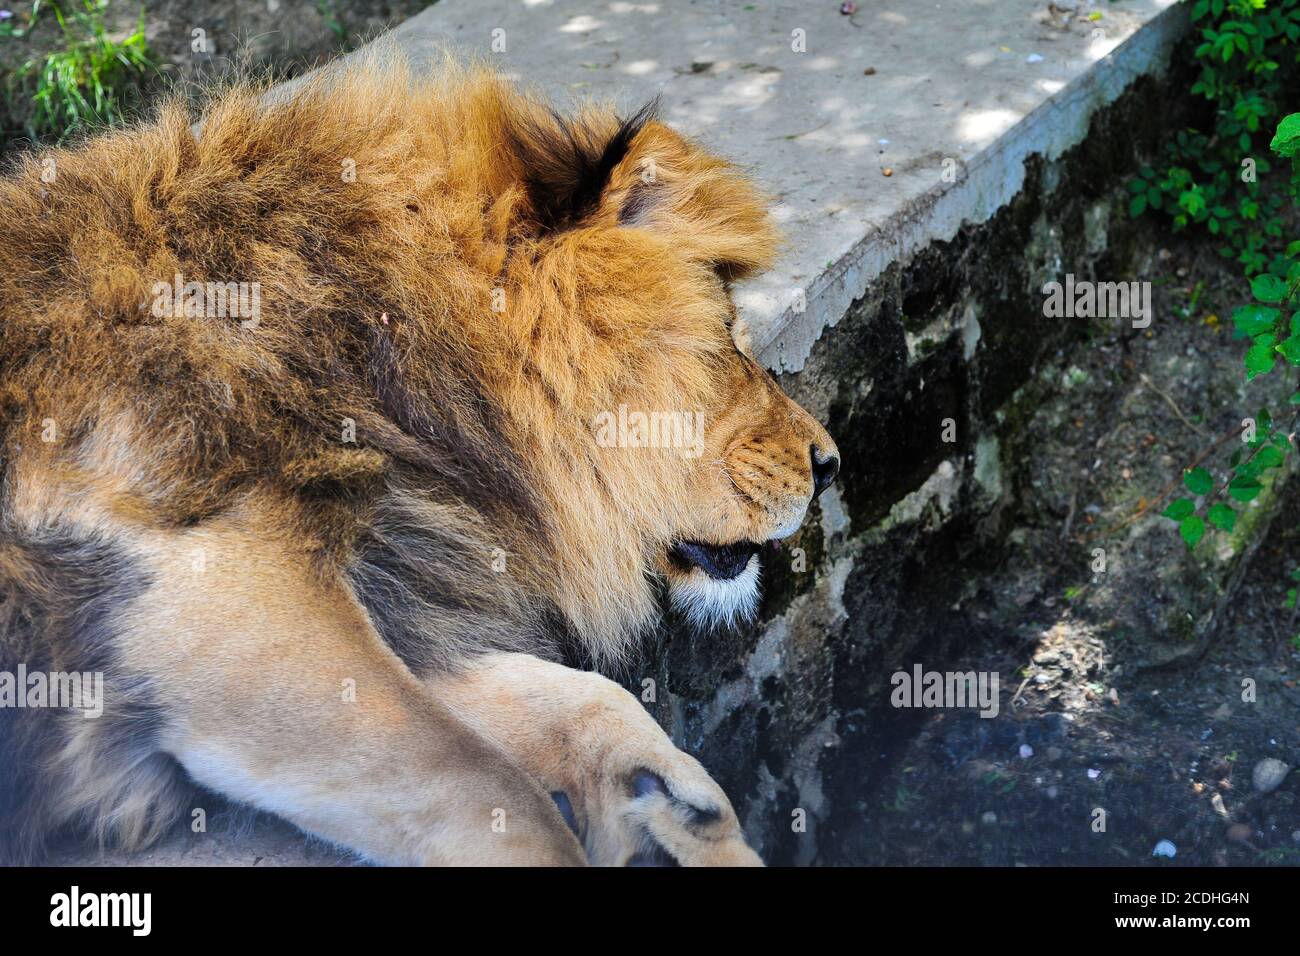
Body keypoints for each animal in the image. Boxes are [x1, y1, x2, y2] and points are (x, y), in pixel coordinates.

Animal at [0, 53, 840, 866]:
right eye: (726, 334)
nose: (829, 462)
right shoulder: (219, 598)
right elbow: (503, 800)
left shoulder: (399, 593)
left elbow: (586, 703)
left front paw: (673, 808)